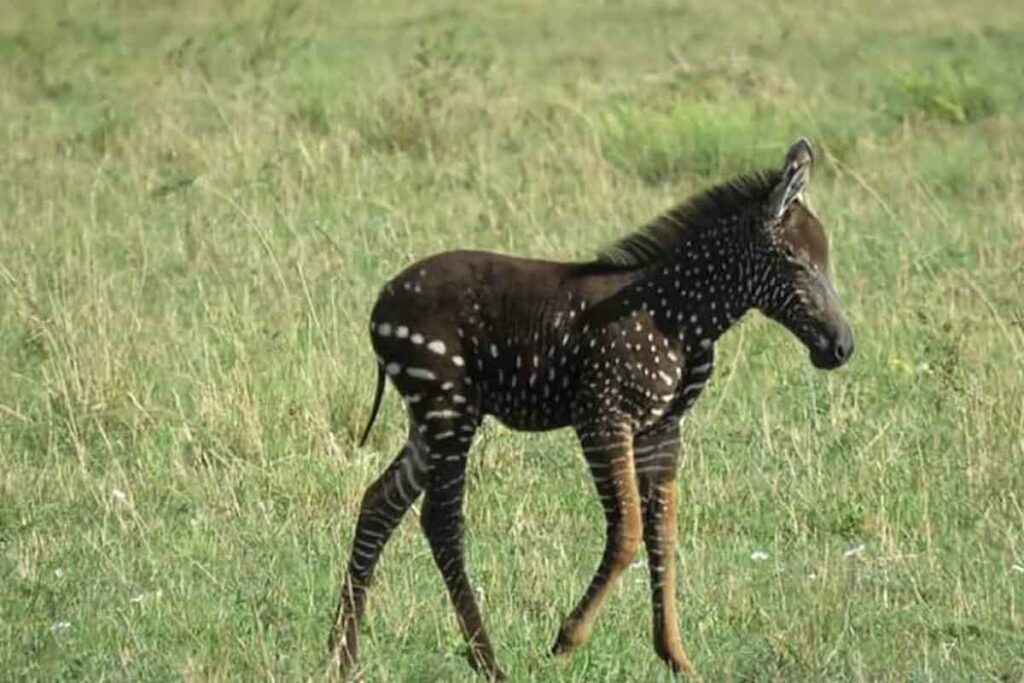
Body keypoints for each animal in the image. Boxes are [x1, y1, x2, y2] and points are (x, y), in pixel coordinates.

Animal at [329, 138, 854, 679]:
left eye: (825, 260)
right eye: (795, 262)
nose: (841, 348)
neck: (683, 318)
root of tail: (380, 305)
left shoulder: (663, 429)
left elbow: (663, 534)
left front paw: (676, 656)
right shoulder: (602, 416)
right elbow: (628, 531)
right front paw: (568, 638)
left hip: (432, 417)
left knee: (379, 502)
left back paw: (343, 653)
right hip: (447, 405)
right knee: (441, 521)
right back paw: (487, 660)